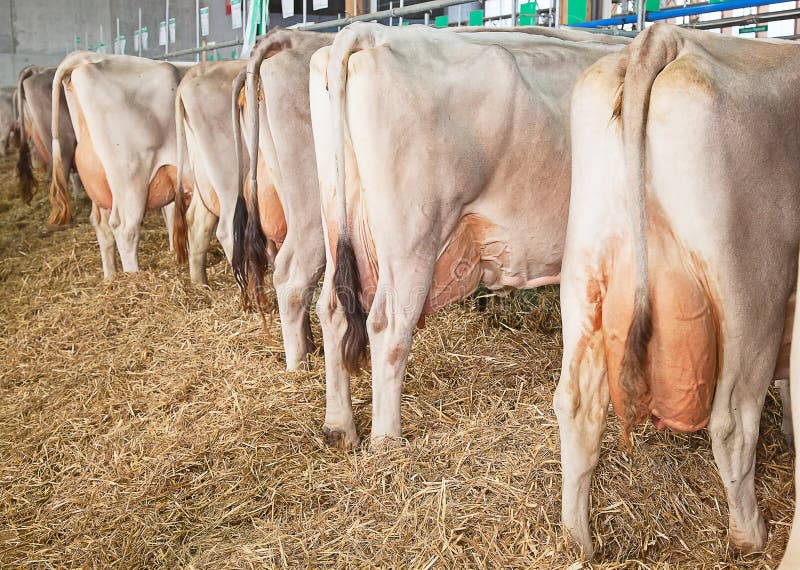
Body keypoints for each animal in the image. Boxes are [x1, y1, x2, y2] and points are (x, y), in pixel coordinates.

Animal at [49, 52, 191, 277]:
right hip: (131, 175)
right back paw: (133, 277)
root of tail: (87, 57)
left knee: (101, 224)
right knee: (125, 228)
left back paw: (111, 278)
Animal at [309, 23, 630, 448]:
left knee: (332, 308)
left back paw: (339, 427)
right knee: (389, 325)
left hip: (335, 216)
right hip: (413, 238)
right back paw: (387, 442)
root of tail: (370, 32)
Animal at [555, 24, 800, 560]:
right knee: (732, 422)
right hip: (753, 294)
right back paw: (750, 534)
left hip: (583, 269)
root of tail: (666, 38)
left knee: (576, 404)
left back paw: (578, 539)